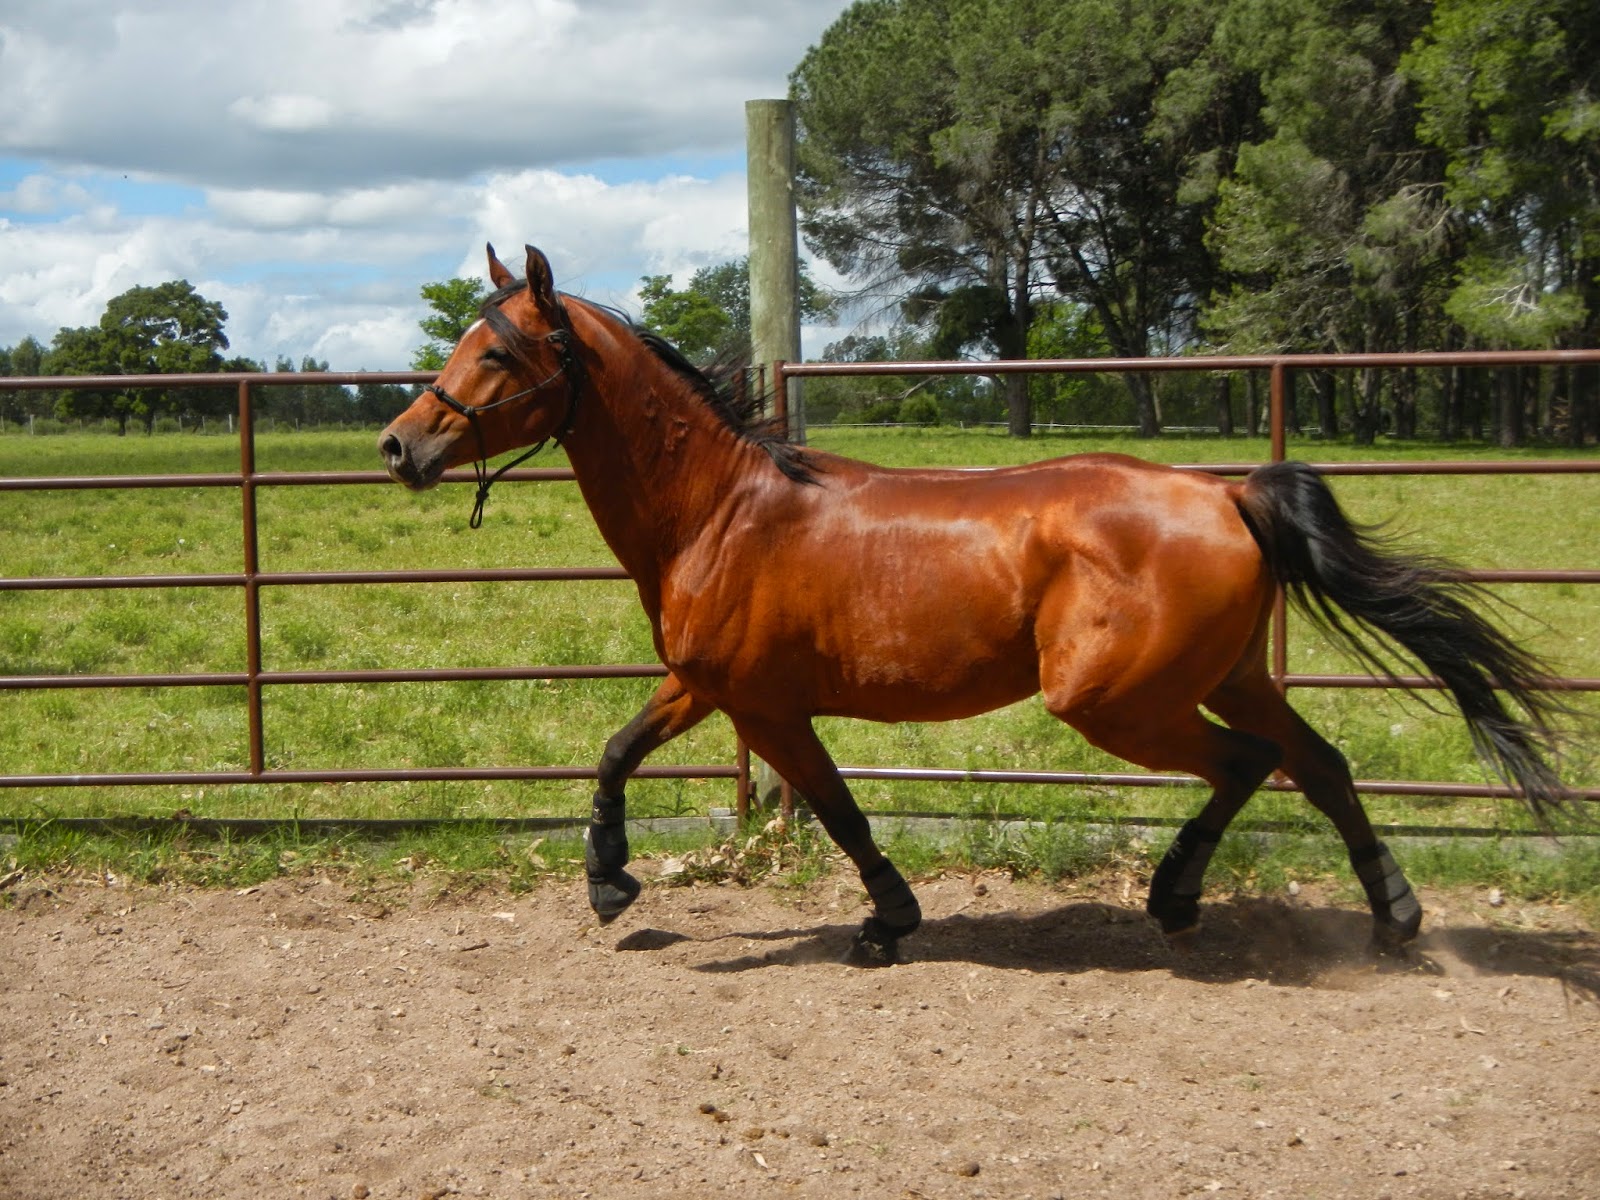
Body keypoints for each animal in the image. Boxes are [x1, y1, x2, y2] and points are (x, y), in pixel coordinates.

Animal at [379, 243, 1569, 964]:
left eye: (499, 351)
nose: (399, 446)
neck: (718, 511)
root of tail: (1223, 490)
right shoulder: (706, 688)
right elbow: (618, 749)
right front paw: (609, 883)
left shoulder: (764, 706)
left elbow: (838, 808)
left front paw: (886, 921)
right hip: (1225, 674)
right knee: (1315, 762)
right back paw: (1393, 912)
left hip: (1117, 701)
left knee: (1248, 763)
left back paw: (1178, 899)